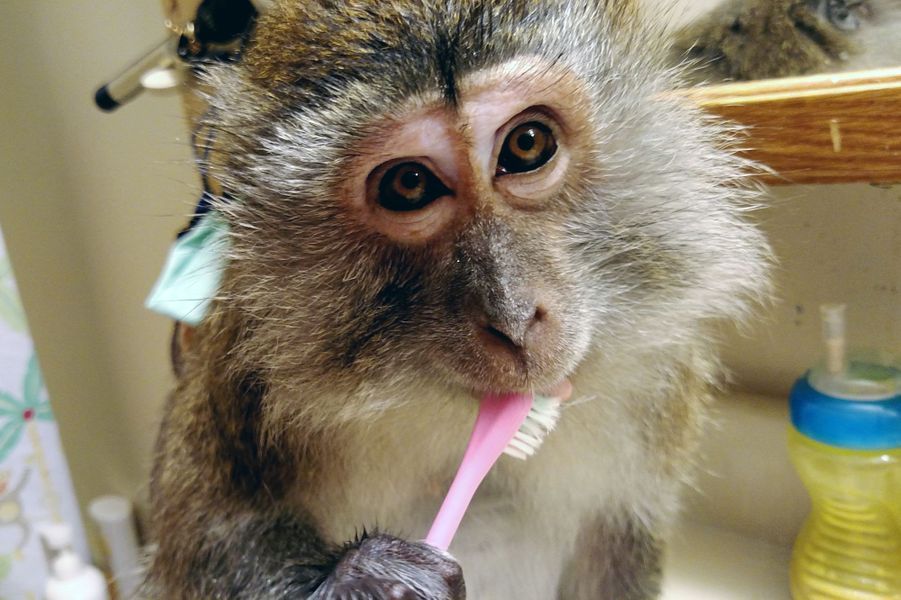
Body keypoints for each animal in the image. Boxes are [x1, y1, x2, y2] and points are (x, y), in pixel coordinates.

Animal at [144, 1, 772, 598]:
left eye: (527, 144)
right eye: (409, 184)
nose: (514, 318)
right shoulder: (241, 371)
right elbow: (203, 536)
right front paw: (368, 583)